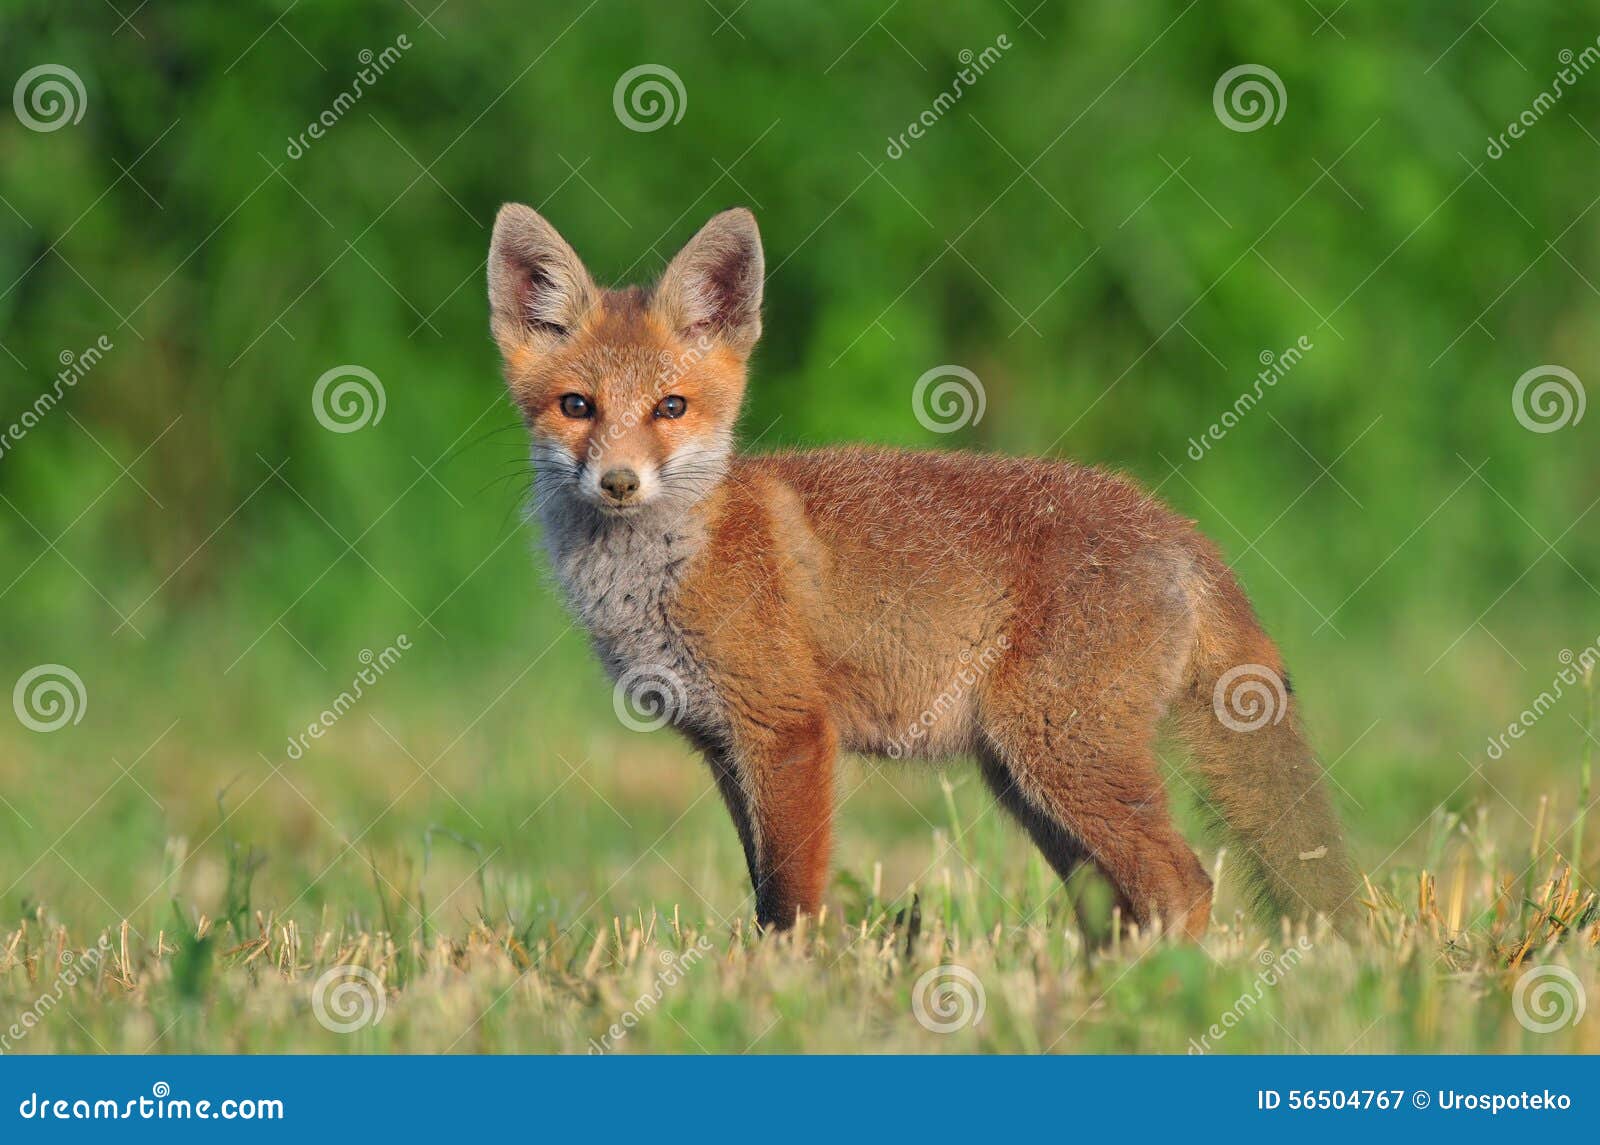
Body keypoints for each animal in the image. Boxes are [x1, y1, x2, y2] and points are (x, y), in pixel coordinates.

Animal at [486, 203, 1357, 939]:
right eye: (576, 406)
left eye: (670, 408)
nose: (619, 483)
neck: (666, 570)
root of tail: (1172, 522)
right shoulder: (725, 747)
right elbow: (761, 886)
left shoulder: (790, 731)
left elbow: (790, 898)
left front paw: (796, 981)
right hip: (1028, 781)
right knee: (1115, 900)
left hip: (1063, 758)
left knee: (1184, 884)